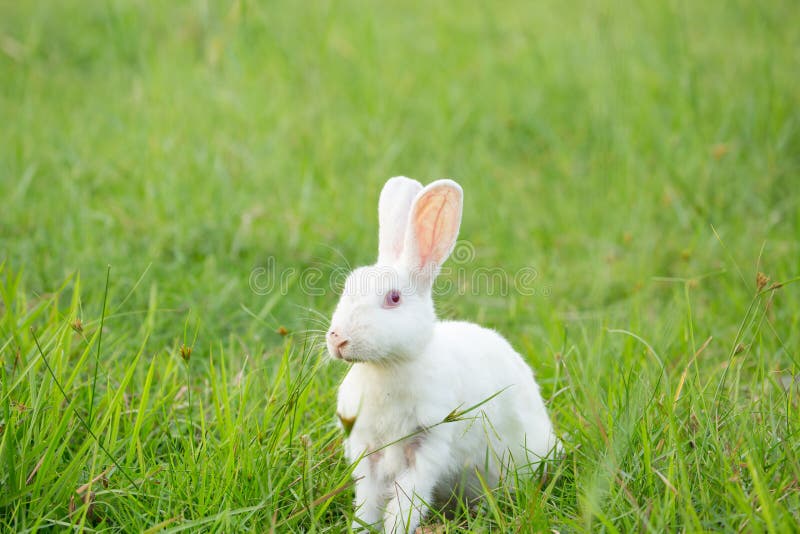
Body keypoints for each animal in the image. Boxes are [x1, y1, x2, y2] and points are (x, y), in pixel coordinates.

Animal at [327, 177, 558, 533]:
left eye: (394, 298)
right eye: (346, 288)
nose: (338, 338)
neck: (386, 369)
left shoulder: (426, 448)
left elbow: (405, 503)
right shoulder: (368, 451)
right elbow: (367, 504)